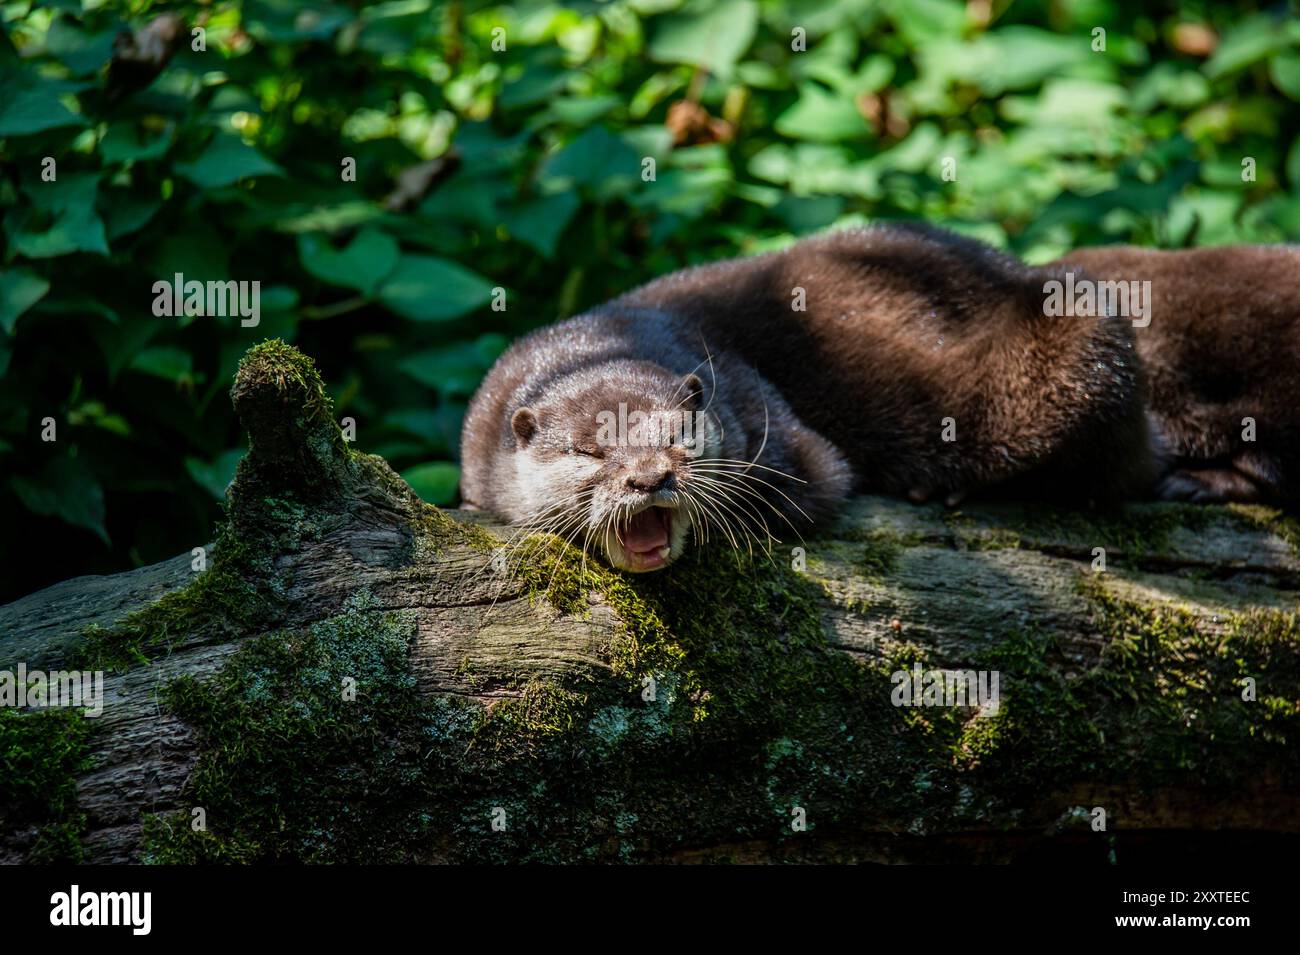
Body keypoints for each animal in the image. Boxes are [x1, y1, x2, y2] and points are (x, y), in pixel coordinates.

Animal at [460, 224, 1297, 572]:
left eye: (680, 433)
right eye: (591, 449)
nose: (652, 478)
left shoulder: (771, 423)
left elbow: (819, 485)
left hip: (1079, 349)